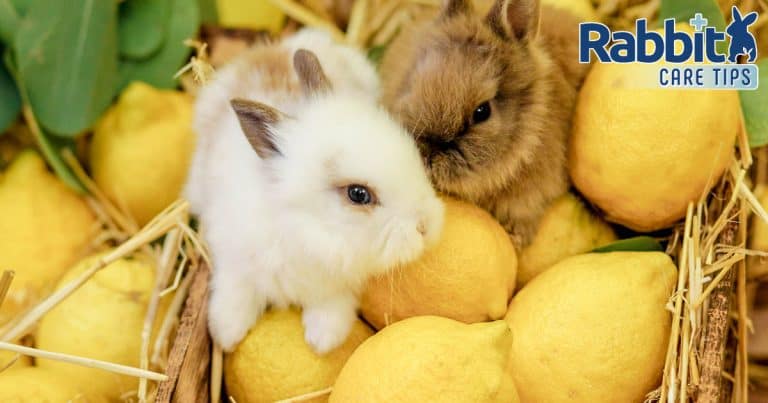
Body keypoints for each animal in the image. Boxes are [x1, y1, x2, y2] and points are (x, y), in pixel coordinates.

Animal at [184, 29, 445, 354]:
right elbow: (234, 292)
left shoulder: (338, 285)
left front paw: (321, 340)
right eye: (358, 194)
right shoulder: (233, 259)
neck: (307, 228)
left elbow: (332, 309)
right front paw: (226, 334)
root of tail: (270, 50)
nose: (426, 226)